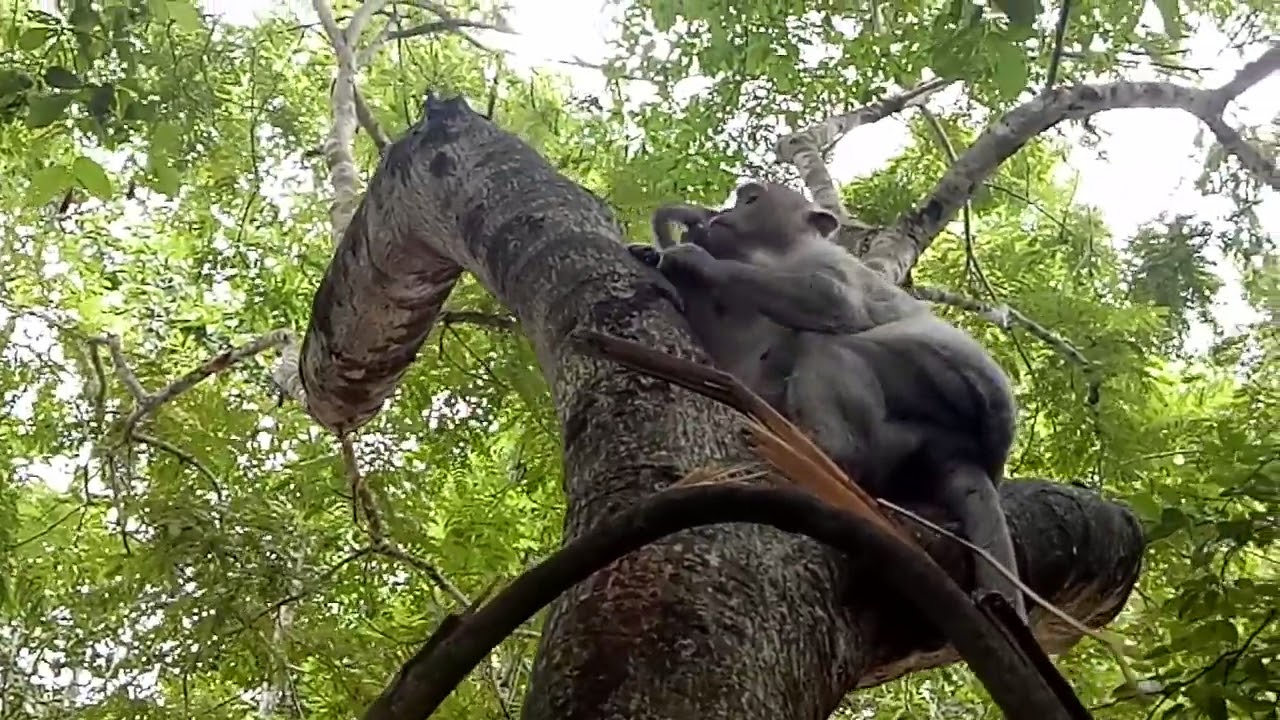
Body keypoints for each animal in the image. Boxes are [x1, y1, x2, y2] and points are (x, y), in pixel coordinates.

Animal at [630, 181, 1026, 621]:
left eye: (750, 199)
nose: (719, 214)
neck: (769, 254)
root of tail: (967, 453)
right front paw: (653, 256)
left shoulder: (821, 257)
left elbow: (832, 300)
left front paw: (691, 261)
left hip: (945, 382)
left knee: (826, 345)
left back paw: (821, 449)